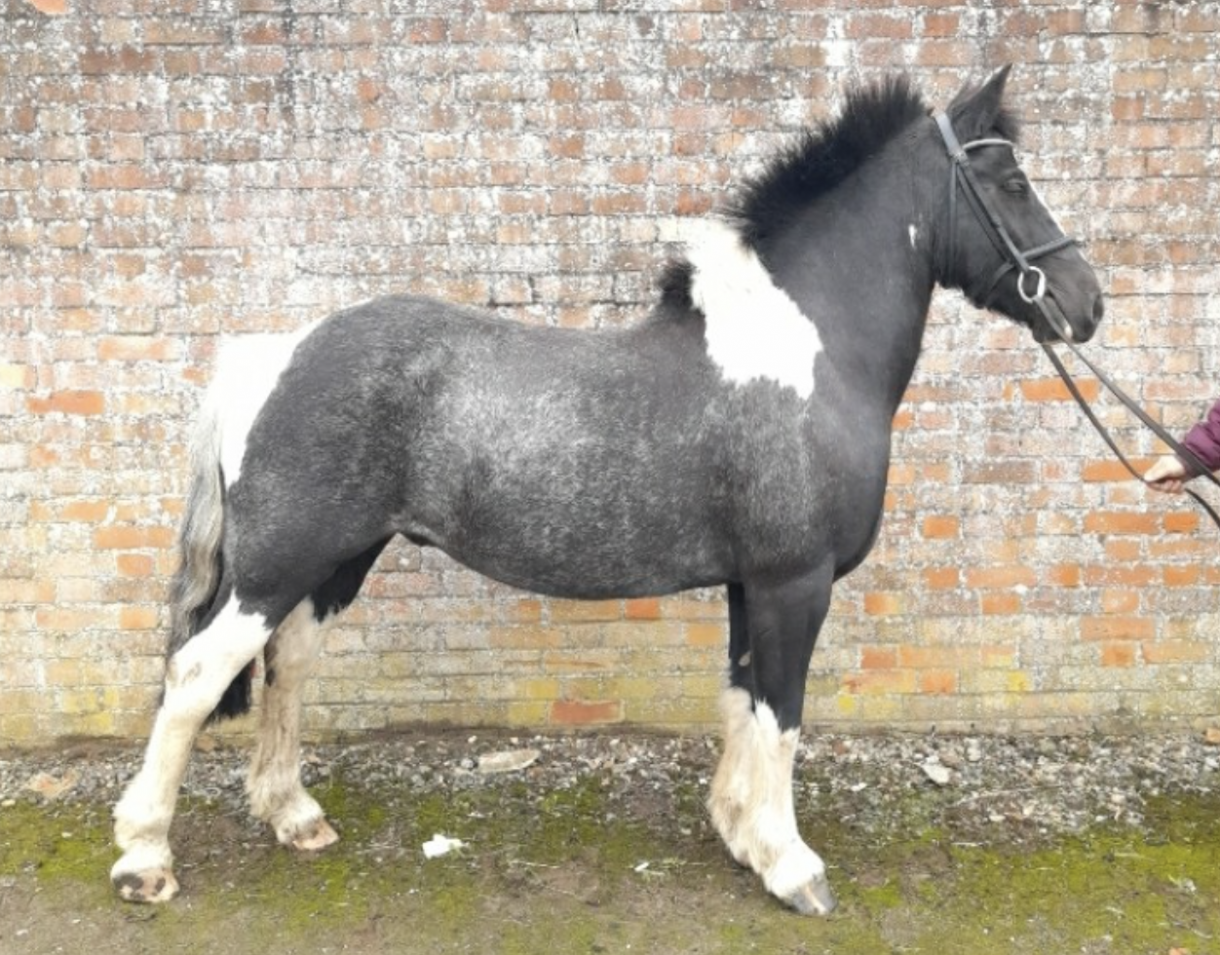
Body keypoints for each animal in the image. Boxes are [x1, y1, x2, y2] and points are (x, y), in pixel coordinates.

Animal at [111, 67, 1104, 915]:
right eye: (1012, 179)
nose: (1086, 302)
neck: (802, 354)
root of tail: (270, 353)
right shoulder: (794, 581)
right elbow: (781, 714)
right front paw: (792, 866)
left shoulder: (748, 584)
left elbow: (741, 700)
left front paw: (740, 834)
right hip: (279, 566)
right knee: (196, 675)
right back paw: (144, 857)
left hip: (336, 561)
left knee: (285, 664)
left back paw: (294, 816)